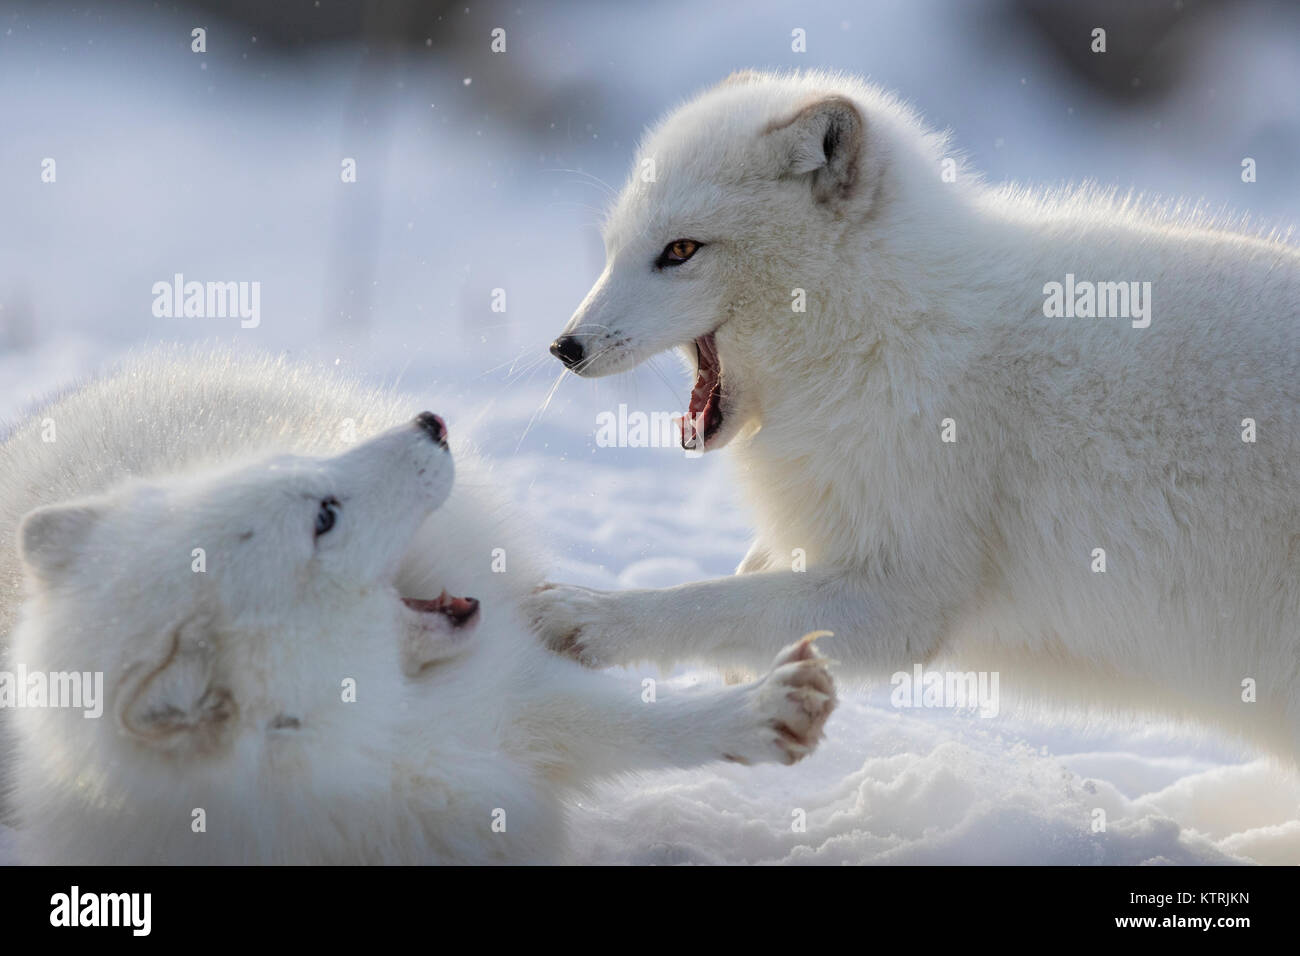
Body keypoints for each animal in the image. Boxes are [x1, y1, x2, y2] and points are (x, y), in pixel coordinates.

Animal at [0, 349, 835, 864]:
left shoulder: (510, 703)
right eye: (324, 518)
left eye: (302, 476)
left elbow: (647, 726)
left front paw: (763, 710)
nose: (430, 423)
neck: (383, 735)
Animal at [529, 69, 1300, 762]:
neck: (880, 320)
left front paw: (587, 615)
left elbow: (711, 600)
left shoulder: (902, 595)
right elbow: (747, 578)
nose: (565, 348)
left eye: (681, 250)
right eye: (614, 248)